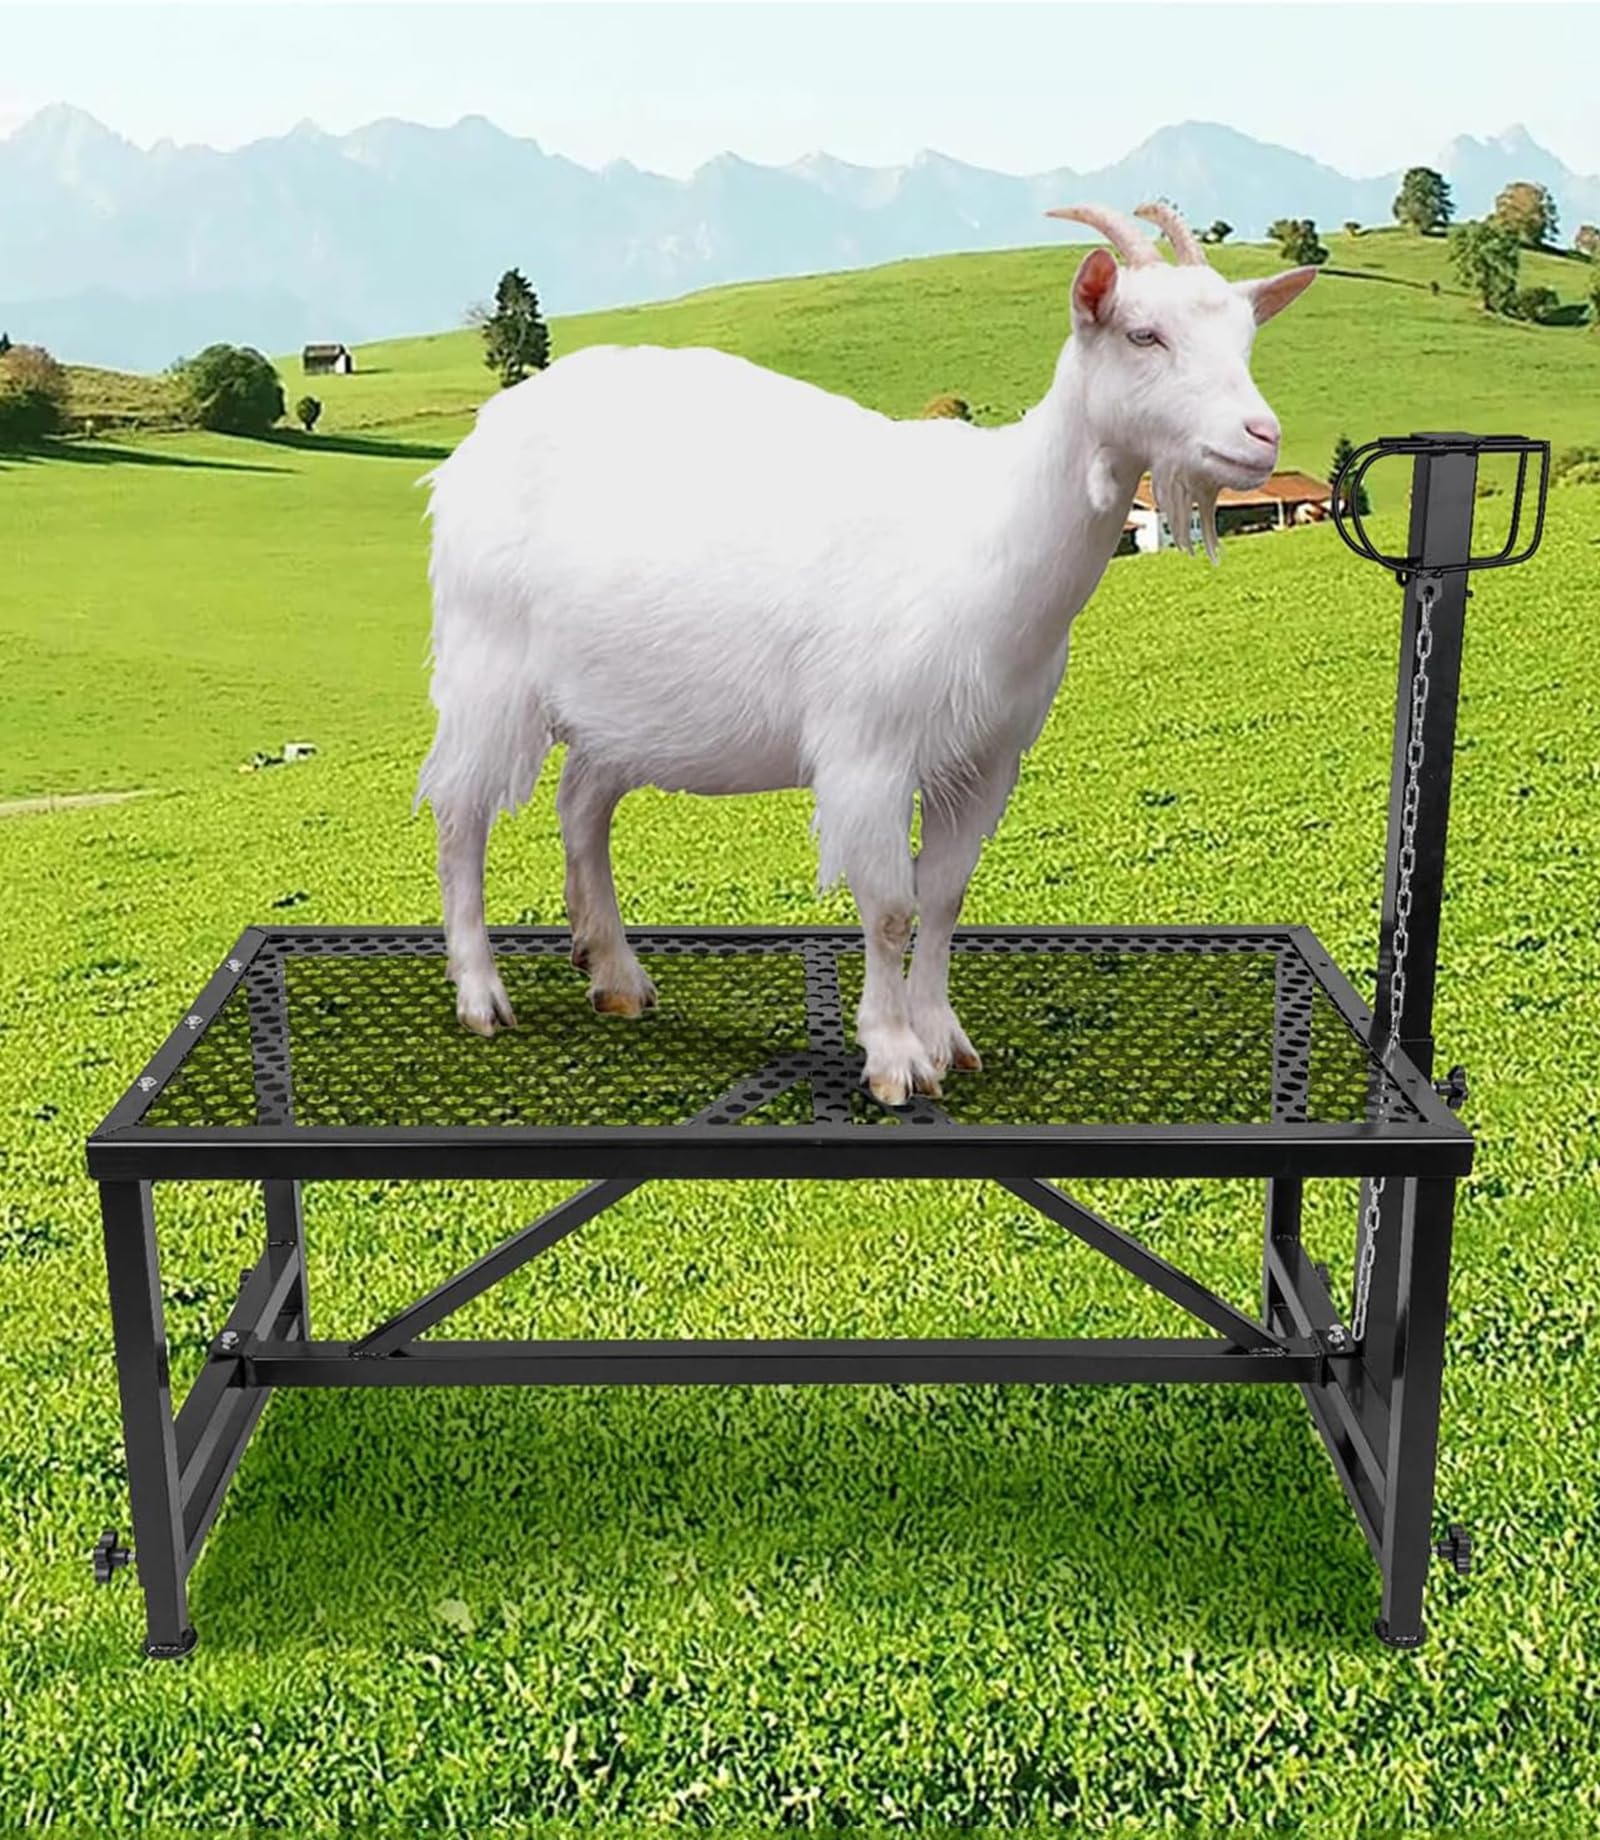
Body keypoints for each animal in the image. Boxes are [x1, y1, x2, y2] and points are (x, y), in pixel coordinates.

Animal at [417, 201, 1317, 1106]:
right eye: (1142, 334)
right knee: (461, 814)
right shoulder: (869, 748)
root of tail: (480, 441)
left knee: (582, 806)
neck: (992, 531)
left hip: (618, 699)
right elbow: (888, 906)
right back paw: (480, 993)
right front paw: (893, 1057)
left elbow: (944, 896)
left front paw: (943, 1037)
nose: (1262, 437)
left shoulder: (986, 758)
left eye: (1246, 339)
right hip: (487, 662)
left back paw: (615, 973)